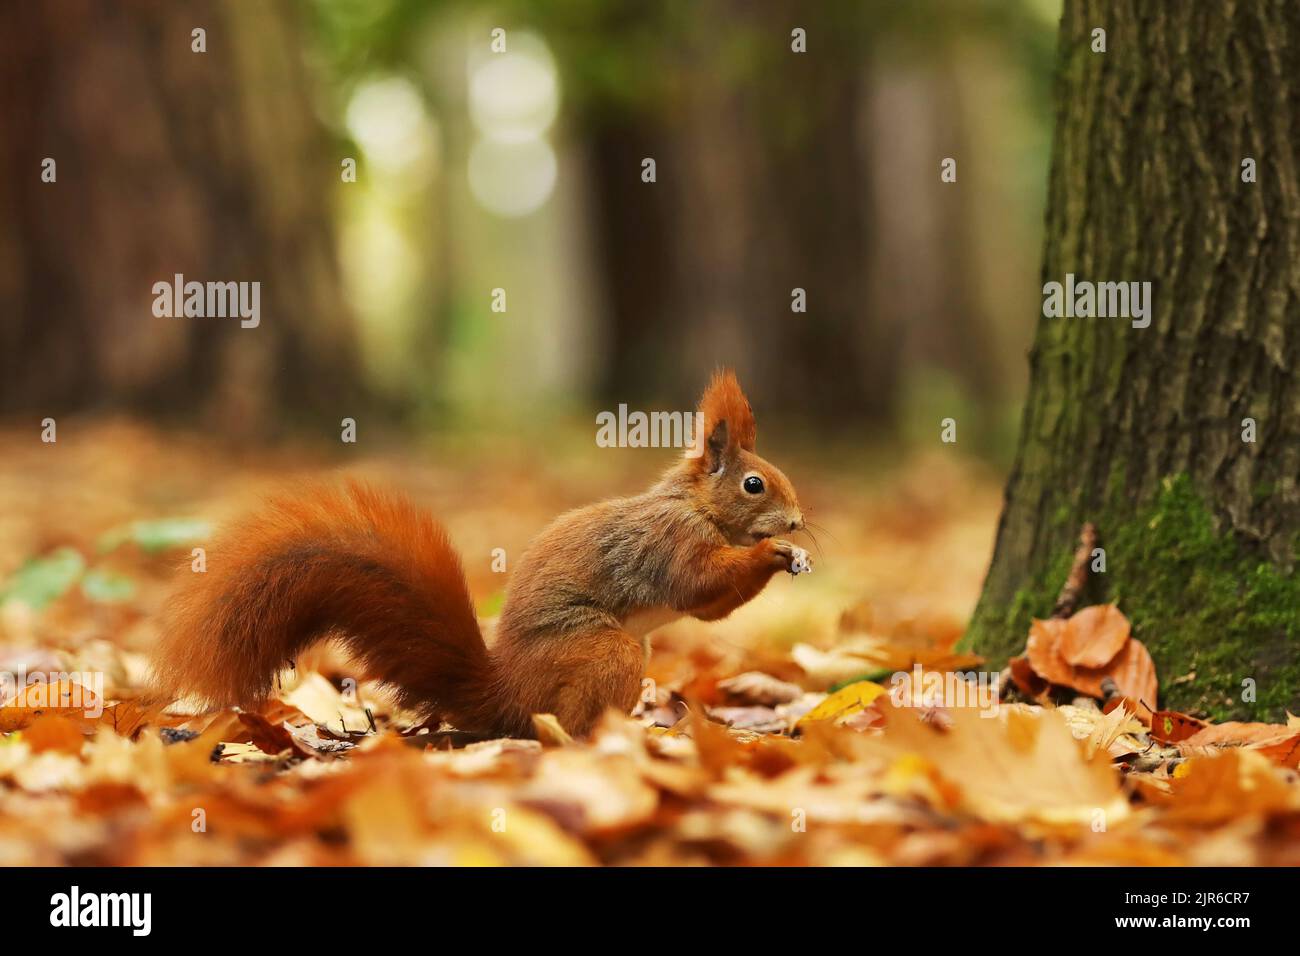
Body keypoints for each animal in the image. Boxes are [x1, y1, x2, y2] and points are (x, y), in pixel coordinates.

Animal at [151, 369, 812, 738]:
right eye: (754, 485)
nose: (799, 522)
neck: (696, 506)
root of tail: (506, 693)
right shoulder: (669, 540)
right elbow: (697, 585)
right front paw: (774, 553)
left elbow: (708, 608)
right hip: (604, 652)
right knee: (565, 720)